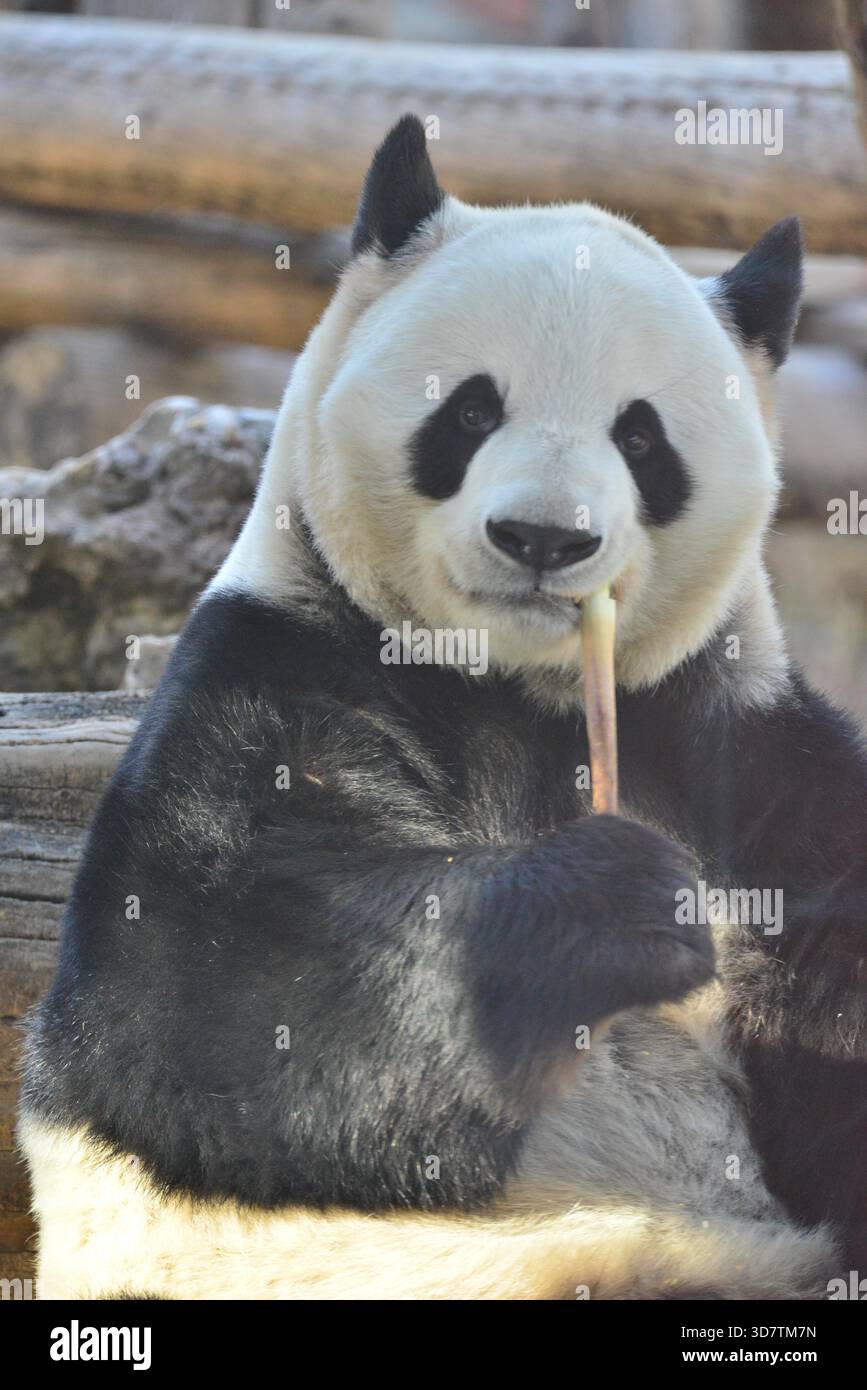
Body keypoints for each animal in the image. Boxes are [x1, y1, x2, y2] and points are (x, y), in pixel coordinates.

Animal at [19, 115, 867, 1300]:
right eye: (469, 409)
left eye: (641, 438)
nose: (544, 538)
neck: (508, 687)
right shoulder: (270, 673)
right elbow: (213, 995)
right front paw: (614, 904)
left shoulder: (736, 749)